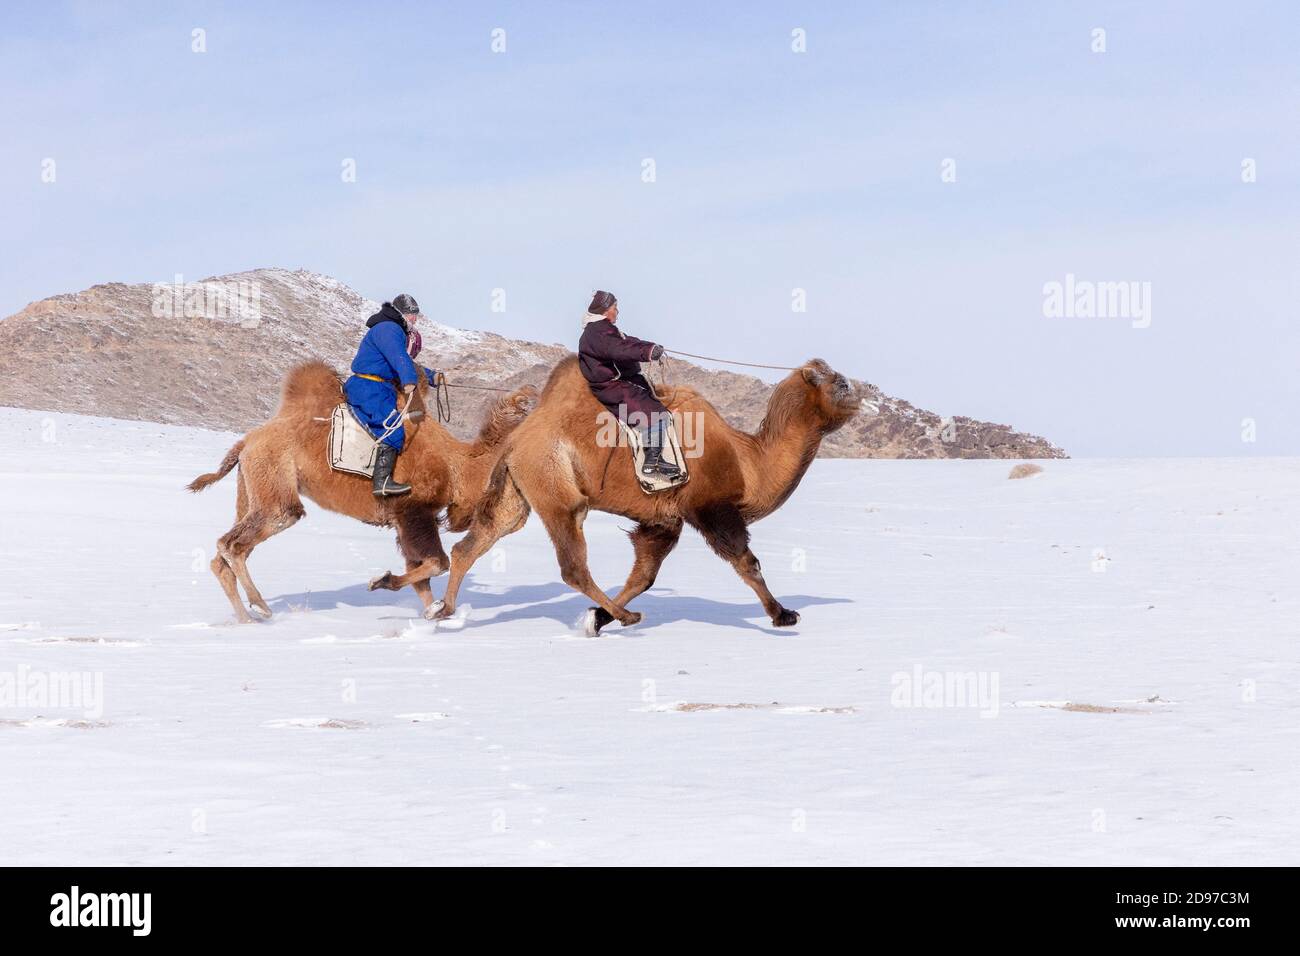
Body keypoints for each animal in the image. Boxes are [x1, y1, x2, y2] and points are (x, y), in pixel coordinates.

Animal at [187, 361, 535, 623]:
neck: (458, 467)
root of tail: (246, 441)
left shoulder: (404, 523)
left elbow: (422, 574)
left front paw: (432, 612)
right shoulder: (413, 512)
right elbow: (438, 563)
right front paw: (383, 582)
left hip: (250, 489)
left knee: (225, 555)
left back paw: (245, 618)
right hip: (275, 492)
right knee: (235, 543)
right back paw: (260, 606)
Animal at [373, 356, 859, 633]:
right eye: (840, 383)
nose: (865, 392)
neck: (748, 459)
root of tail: (514, 440)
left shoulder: (662, 520)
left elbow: (643, 576)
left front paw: (598, 617)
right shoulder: (710, 509)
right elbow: (747, 562)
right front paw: (784, 615)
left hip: (517, 492)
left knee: (472, 544)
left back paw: (435, 606)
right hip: (559, 493)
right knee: (571, 565)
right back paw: (627, 618)